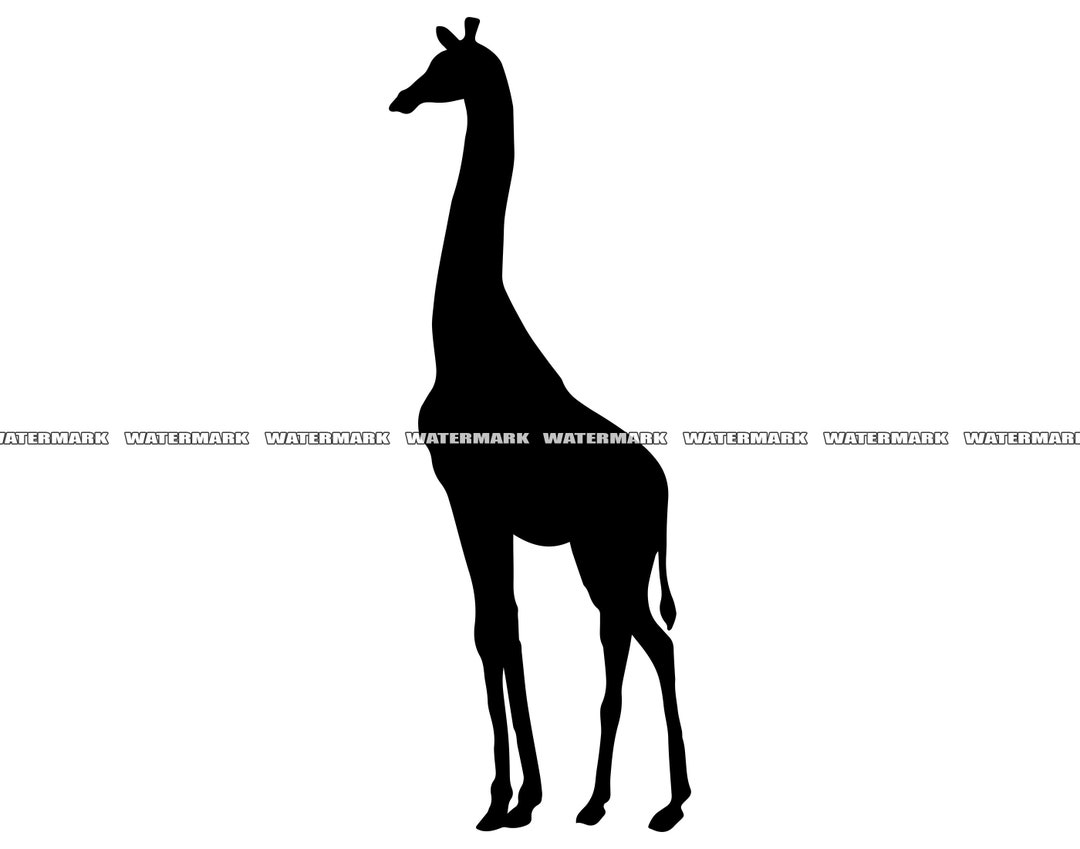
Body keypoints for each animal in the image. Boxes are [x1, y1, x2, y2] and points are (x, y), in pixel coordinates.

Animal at [390, 18, 691, 832]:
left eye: (444, 67)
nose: (401, 97)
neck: (464, 341)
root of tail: (665, 492)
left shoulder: (468, 498)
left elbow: (494, 626)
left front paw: (505, 798)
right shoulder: (481, 508)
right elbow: (500, 626)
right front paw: (524, 793)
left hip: (610, 556)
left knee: (650, 643)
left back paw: (664, 803)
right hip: (606, 558)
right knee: (632, 642)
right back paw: (608, 799)